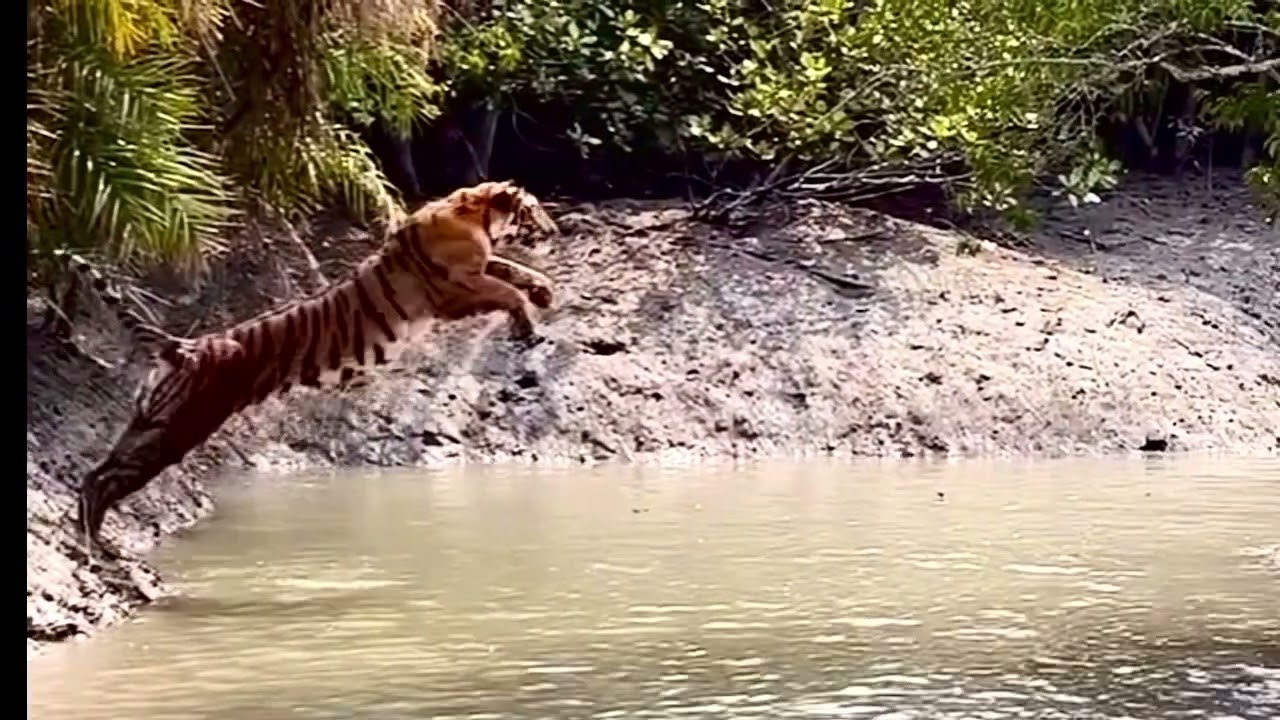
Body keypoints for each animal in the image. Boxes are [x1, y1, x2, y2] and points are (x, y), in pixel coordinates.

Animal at [56, 180, 561, 560]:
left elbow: (512, 271)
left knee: (95, 473)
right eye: (535, 210)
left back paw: (92, 541)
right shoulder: (455, 291)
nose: (554, 229)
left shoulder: (478, 269)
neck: (475, 213)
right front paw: (527, 320)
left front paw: (543, 291)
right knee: (108, 480)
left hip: (149, 421)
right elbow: (505, 288)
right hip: (181, 429)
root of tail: (186, 345)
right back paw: (96, 546)